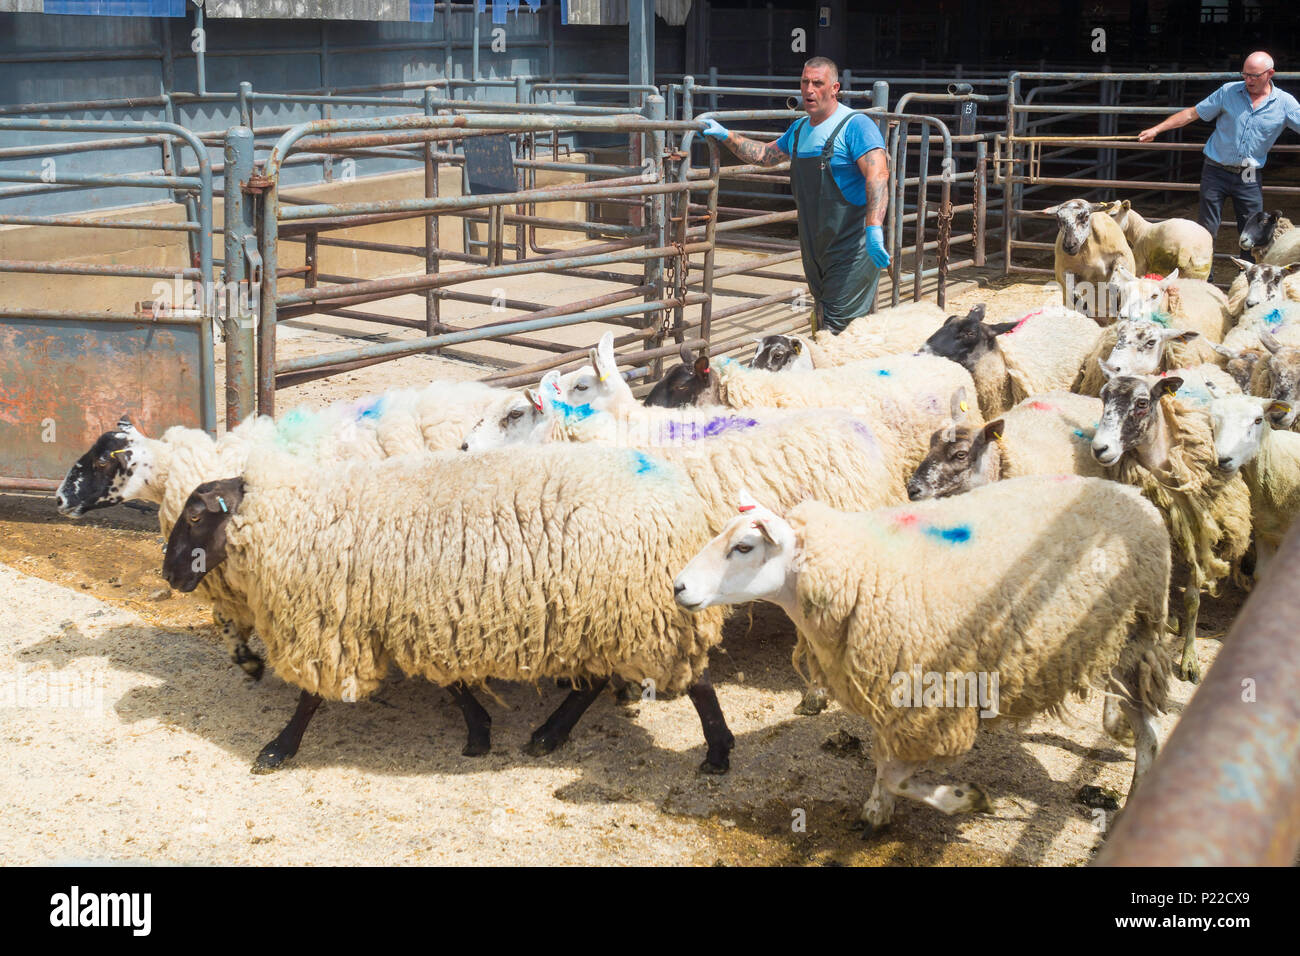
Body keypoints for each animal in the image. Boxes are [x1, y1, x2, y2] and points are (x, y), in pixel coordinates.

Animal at [162, 443, 736, 774]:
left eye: (194, 516)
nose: (168, 575)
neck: (302, 516)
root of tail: (683, 500)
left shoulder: (336, 620)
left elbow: (309, 698)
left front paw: (279, 749)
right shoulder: (421, 616)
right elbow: (453, 684)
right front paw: (480, 731)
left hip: (649, 612)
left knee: (696, 679)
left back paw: (718, 751)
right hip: (607, 613)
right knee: (595, 680)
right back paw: (549, 736)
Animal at [672, 477, 1173, 833]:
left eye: (744, 547)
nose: (677, 586)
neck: (859, 570)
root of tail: (1138, 497)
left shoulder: (931, 701)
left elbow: (898, 773)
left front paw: (965, 798)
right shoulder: (889, 693)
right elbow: (883, 763)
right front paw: (876, 811)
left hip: (1135, 635)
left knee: (1150, 730)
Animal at [1091, 371, 1253, 683]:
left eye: (1142, 403)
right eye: (1103, 397)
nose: (1099, 448)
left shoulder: (1197, 535)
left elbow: (1192, 600)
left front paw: (1189, 660)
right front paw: (1168, 624)